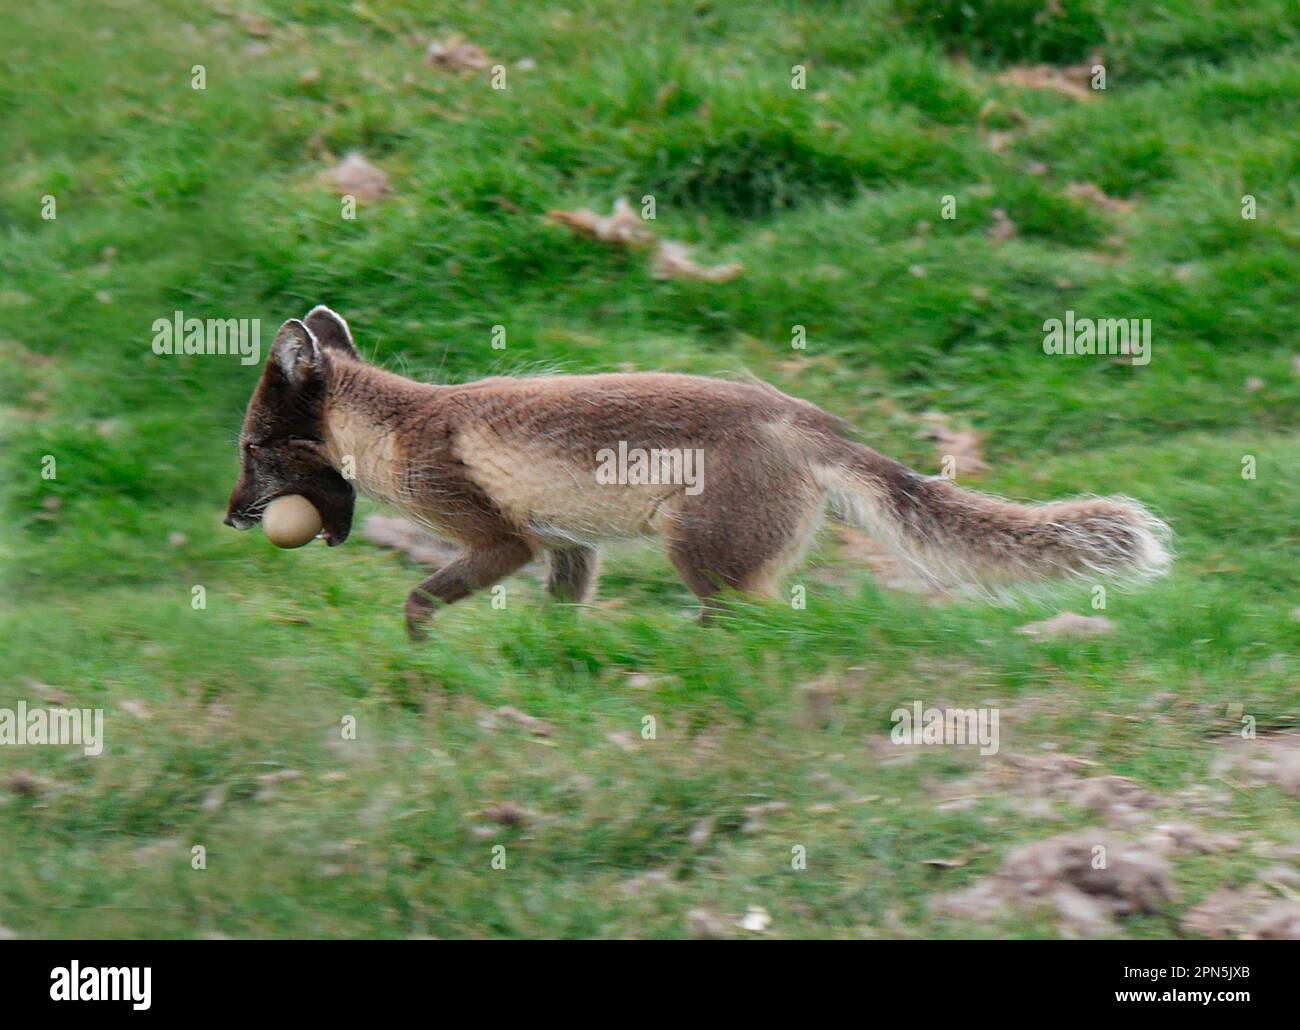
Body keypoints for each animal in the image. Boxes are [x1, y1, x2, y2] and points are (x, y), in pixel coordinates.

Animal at [225, 306, 1172, 639]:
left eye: (250, 450)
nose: (230, 518)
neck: (400, 427)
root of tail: (811, 420)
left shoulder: (502, 540)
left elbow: (420, 599)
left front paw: (421, 655)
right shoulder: (567, 550)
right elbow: (560, 619)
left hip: (702, 557)